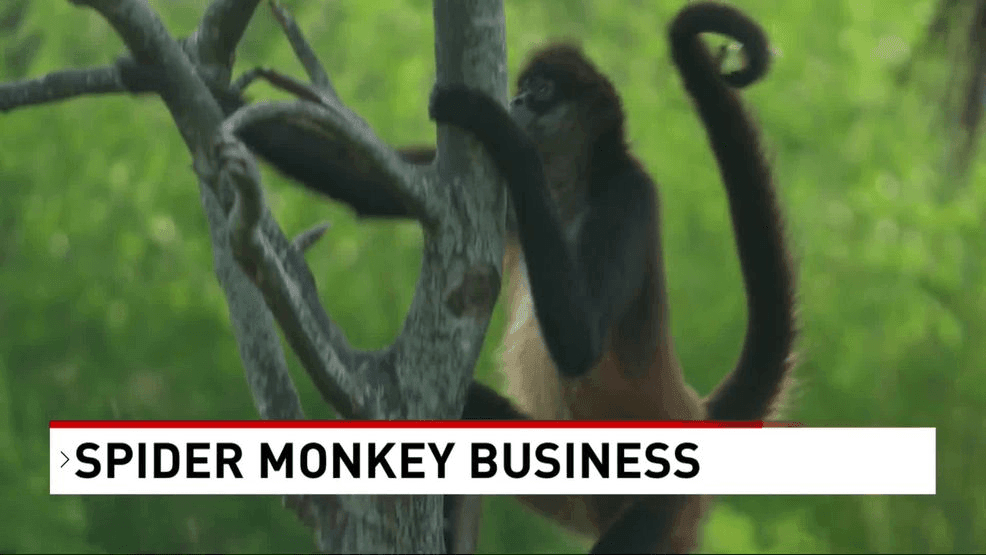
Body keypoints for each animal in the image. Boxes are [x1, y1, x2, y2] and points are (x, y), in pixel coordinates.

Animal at [153, 2, 795, 552]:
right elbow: (362, 184)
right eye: (526, 86)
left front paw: (493, 123)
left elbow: (579, 345)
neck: (572, 186)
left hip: (662, 506)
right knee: (467, 412)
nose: (517, 99)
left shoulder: (629, 193)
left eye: (542, 91)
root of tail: (693, 410)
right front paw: (169, 78)